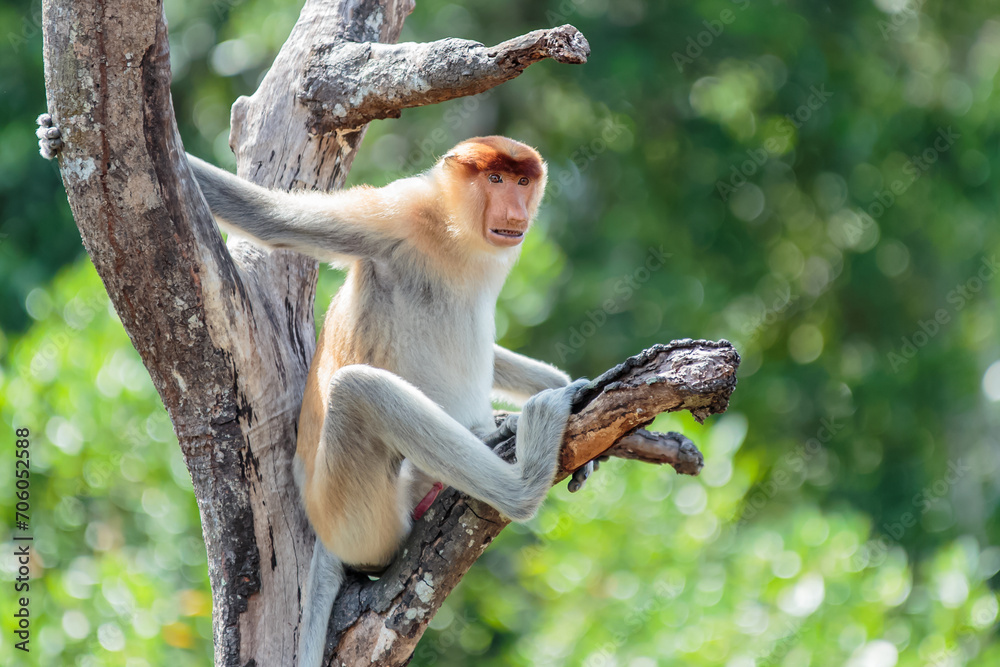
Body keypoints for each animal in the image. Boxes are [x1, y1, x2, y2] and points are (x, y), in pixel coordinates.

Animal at [185, 136, 601, 667]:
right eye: (495, 179)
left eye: (523, 181)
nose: (515, 210)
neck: (456, 234)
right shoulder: (398, 214)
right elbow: (269, 217)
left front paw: (565, 381)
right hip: (356, 517)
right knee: (358, 390)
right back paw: (520, 472)